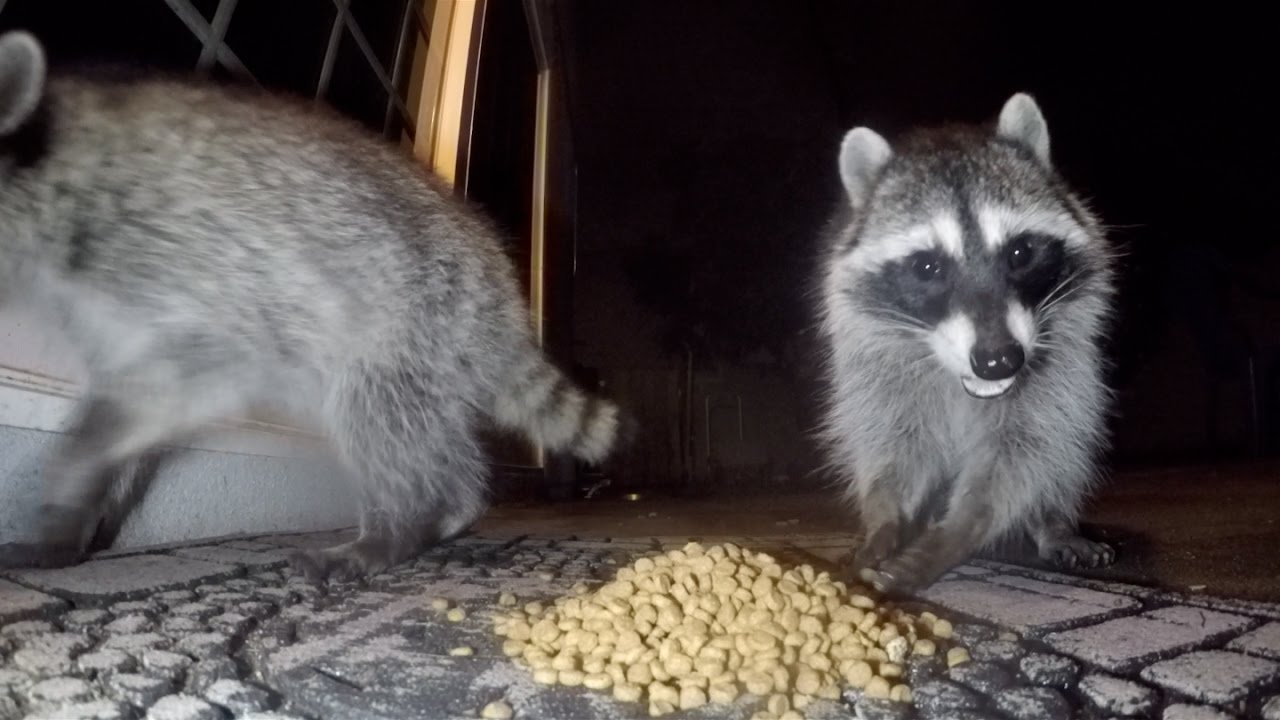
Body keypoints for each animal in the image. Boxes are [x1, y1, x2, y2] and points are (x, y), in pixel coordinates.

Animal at [0, 30, 625, 581]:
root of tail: (499, 280)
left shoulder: (168, 255)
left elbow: (182, 379)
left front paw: (77, 476)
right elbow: (129, 390)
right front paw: (88, 510)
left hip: (423, 307)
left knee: (372, 409)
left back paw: (395, 525)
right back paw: (456, 503)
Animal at [817, 93, 1117, 596]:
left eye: (1020, 252)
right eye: (926, 267)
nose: (999, 361)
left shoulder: (1056, 372)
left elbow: (1025, 451)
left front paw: (955, 532)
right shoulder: (877, 371)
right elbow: (893, 445)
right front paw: (885, 519)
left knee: (1066, 449)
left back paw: (1051, 521)